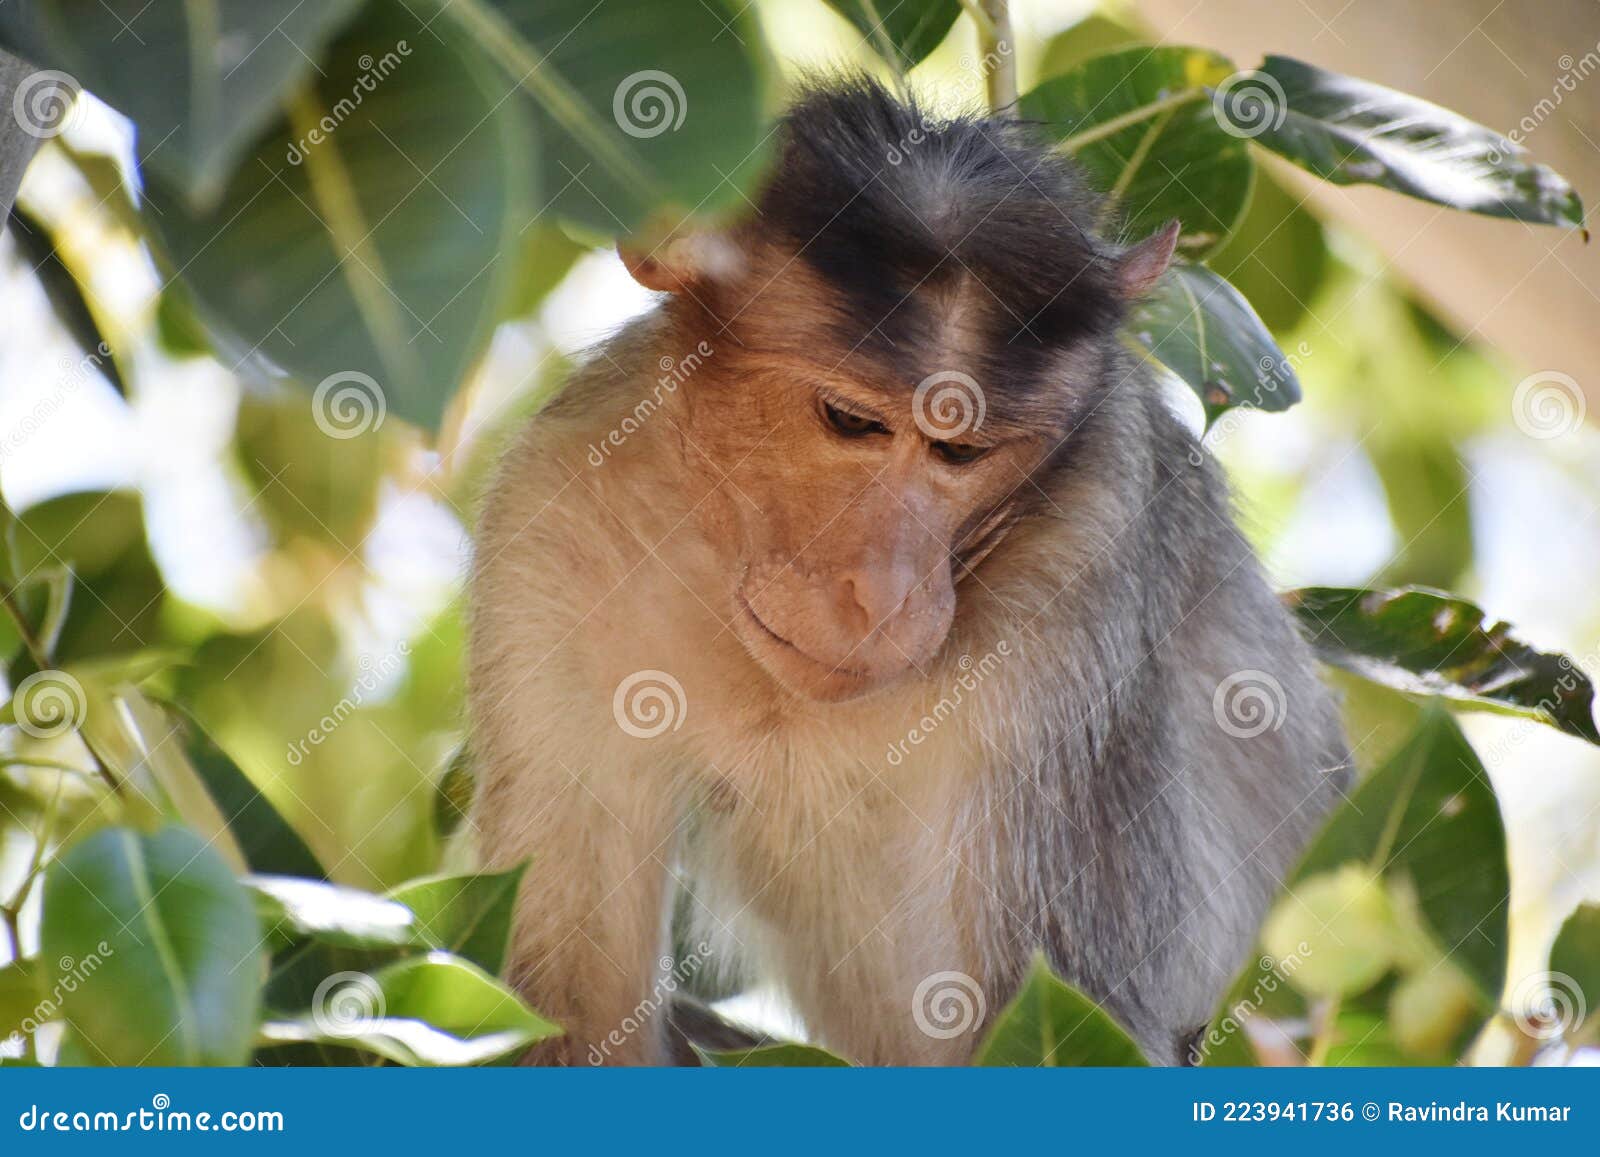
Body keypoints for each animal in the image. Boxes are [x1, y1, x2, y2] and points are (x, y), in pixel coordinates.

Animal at [468, 79, 1352, 1067]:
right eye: (850, 421)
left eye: (960, 451)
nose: (886, 593)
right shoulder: (556, 521)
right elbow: (575, 1008)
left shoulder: (1081, 582)